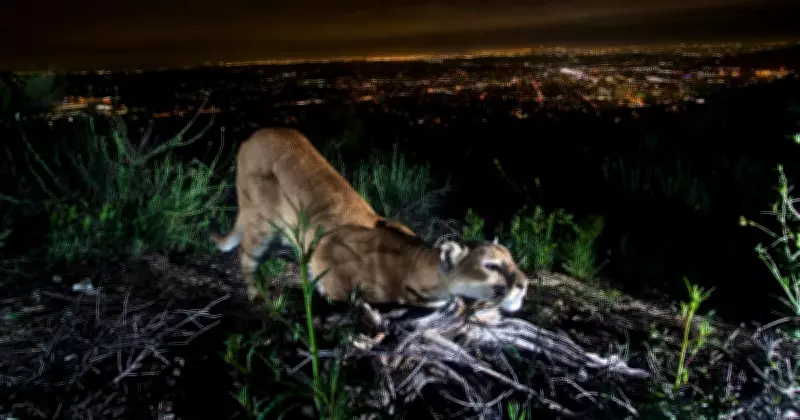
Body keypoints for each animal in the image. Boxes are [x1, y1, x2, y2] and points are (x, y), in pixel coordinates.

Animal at [210, 127, 529, 312]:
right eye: (490, 266)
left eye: (512, 261)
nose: (525, 283)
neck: (413, 265)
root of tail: (255, 134)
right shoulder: (330, 266)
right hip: (260, 223)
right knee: (246, 257)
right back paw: (258, 295)